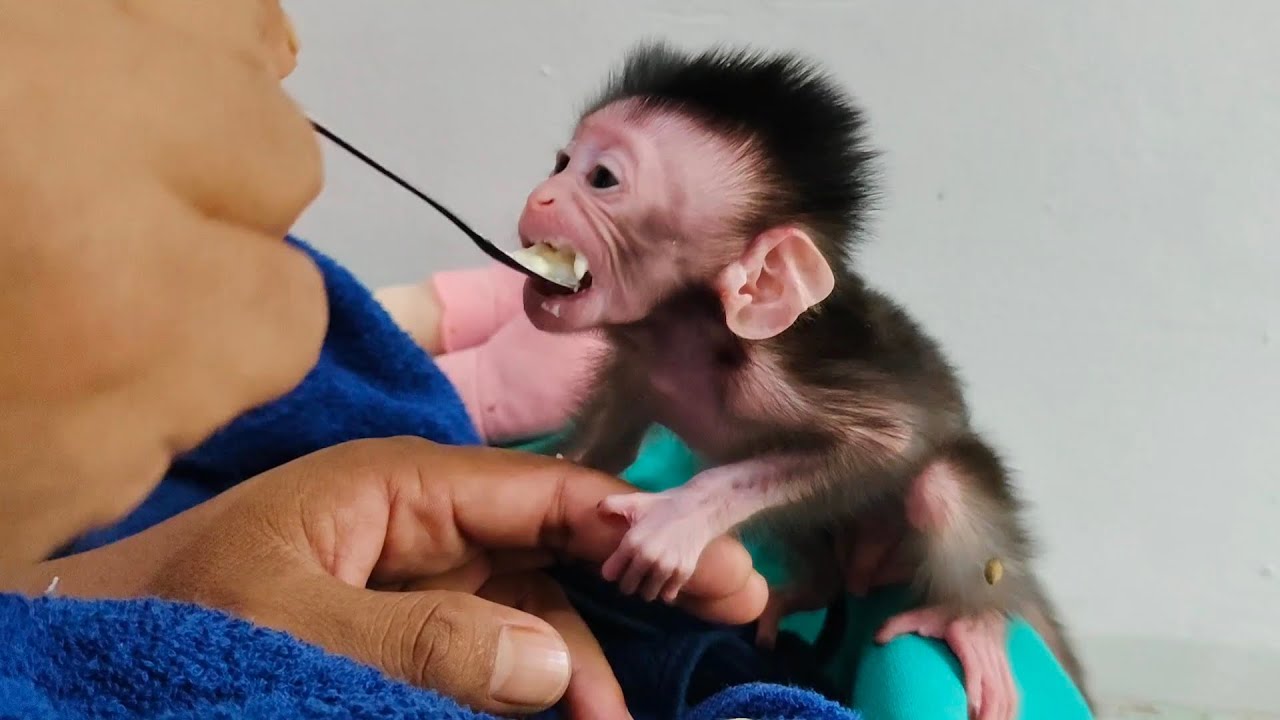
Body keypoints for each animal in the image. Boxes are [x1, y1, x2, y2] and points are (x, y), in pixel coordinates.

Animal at [512, 41, 1091, 719]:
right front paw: (553, 472)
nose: (542, 194)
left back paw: (971, 621)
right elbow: (604, 443)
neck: (682, 337)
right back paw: (813, 589)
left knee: (940, 484)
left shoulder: (774, 376)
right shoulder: (638, 364)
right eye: (562, 162)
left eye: (601, 178)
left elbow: (886, 443)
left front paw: (680, 515)